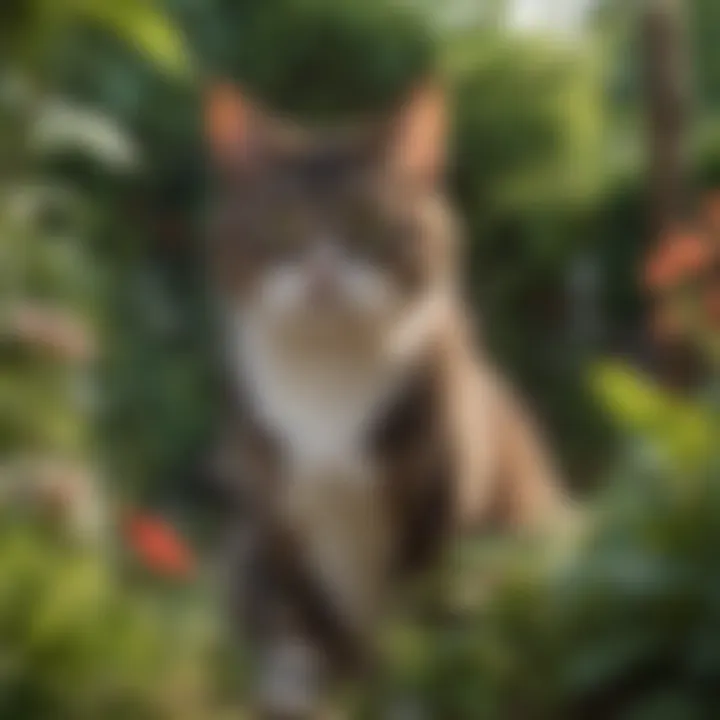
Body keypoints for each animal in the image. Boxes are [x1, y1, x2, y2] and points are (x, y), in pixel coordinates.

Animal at [201, 79, 568, 720]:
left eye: (367, 221)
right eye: (283, 222)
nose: (322, 272)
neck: (329, 382)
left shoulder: (437, 504)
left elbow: (420, 628)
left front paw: (405, 697)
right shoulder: (272, 525)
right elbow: (306, 632)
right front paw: (308, 692)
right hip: (239, 554)